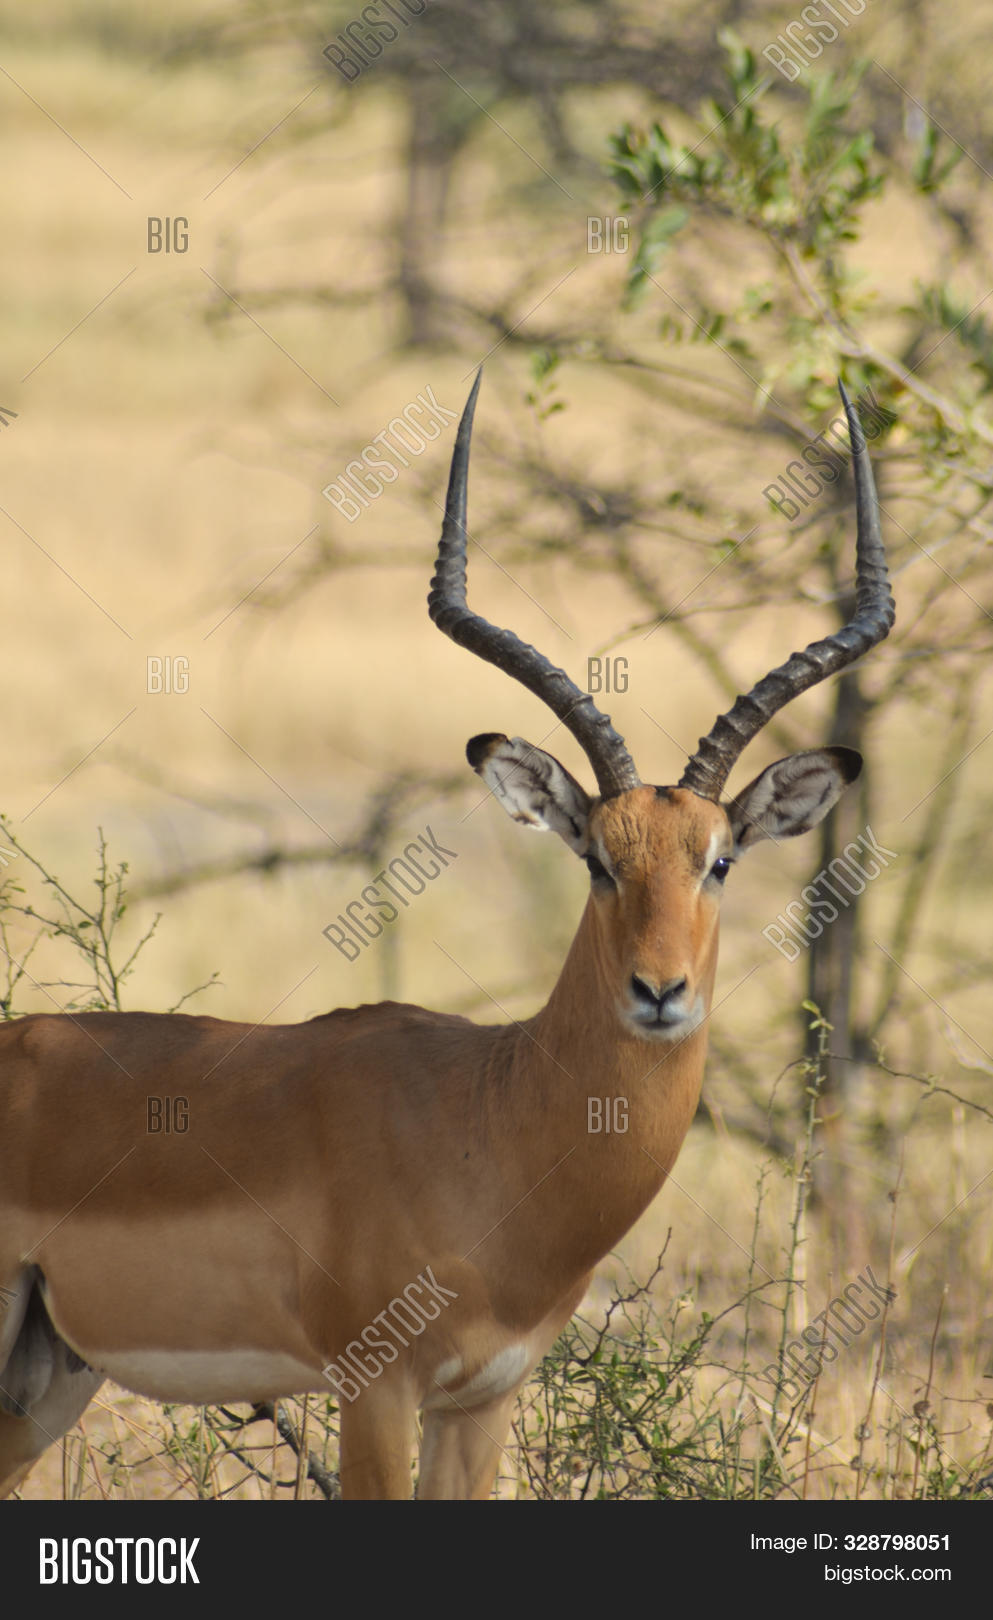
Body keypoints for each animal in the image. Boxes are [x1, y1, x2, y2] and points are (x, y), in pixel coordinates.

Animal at [0, 375, 893, 1500]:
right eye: (598, 858)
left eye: (720, 859)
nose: (659, 991)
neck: (491, 1118)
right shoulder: (375, 1386)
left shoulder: (482, 1398)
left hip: (47, 1381)